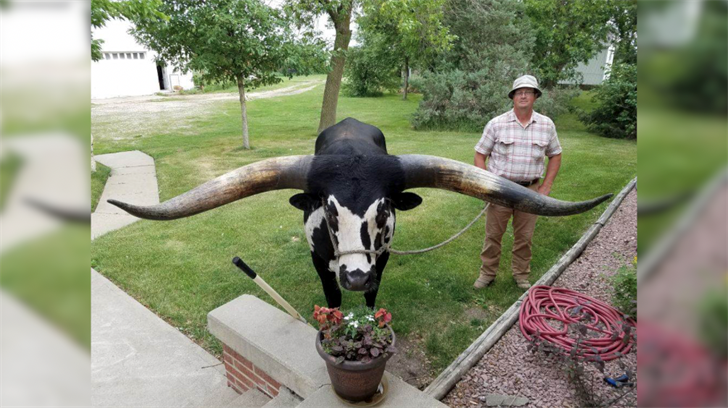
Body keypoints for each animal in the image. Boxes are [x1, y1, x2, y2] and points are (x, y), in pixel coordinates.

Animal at [109, 118, 611, 308]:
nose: (354, 276)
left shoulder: (381, 258)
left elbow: (374, 296)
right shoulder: (320, 259)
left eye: (385, 209)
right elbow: (330, 298)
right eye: (328, 212)